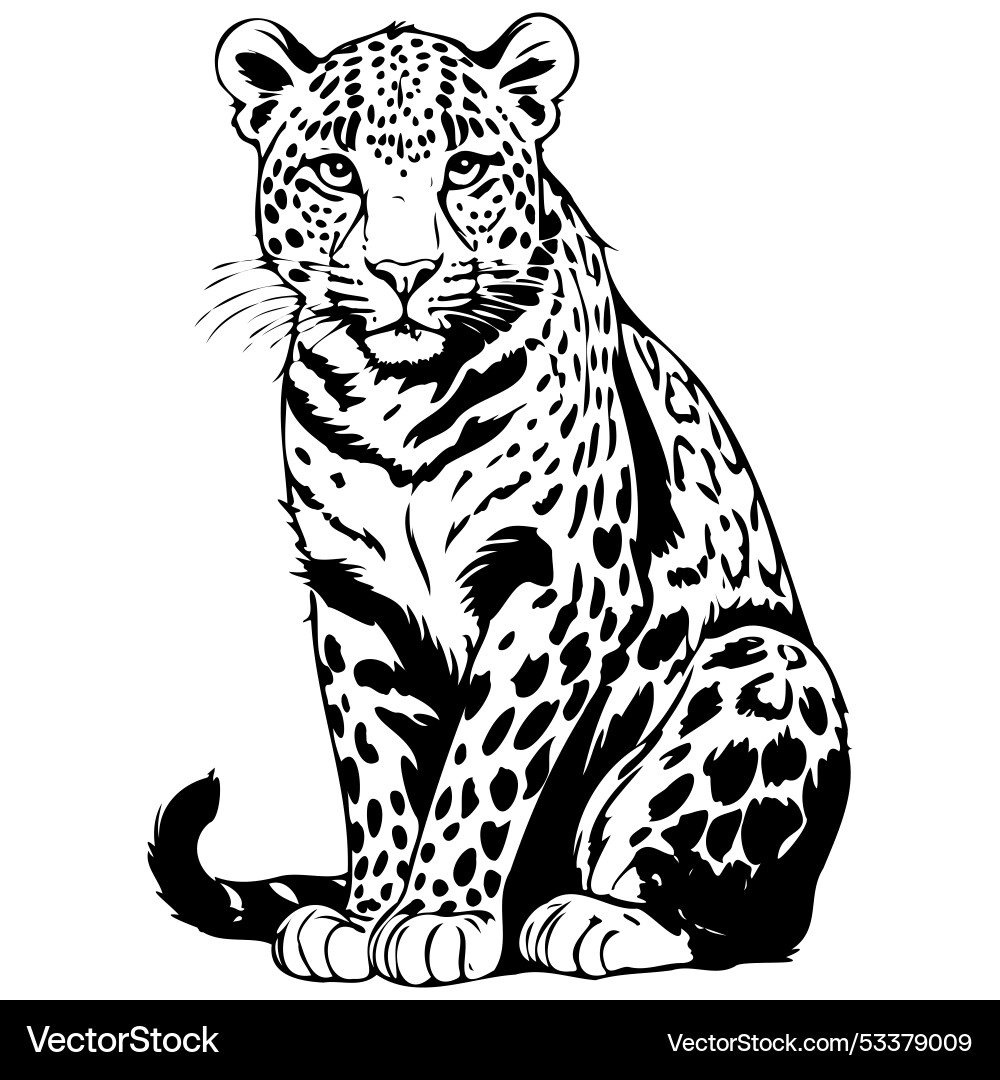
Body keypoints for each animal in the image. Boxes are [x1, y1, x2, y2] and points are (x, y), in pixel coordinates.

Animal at [149, 14, 850, 985]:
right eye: (335, 170)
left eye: (466, 167)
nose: (403, 270)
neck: (396, 401)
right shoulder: (353, 597)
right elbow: (379, 772)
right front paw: (363, 916)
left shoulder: (556, 589)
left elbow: (483, 765)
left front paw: (435, 918)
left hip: (766, 667)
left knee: (723, 915)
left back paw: (590, 920)